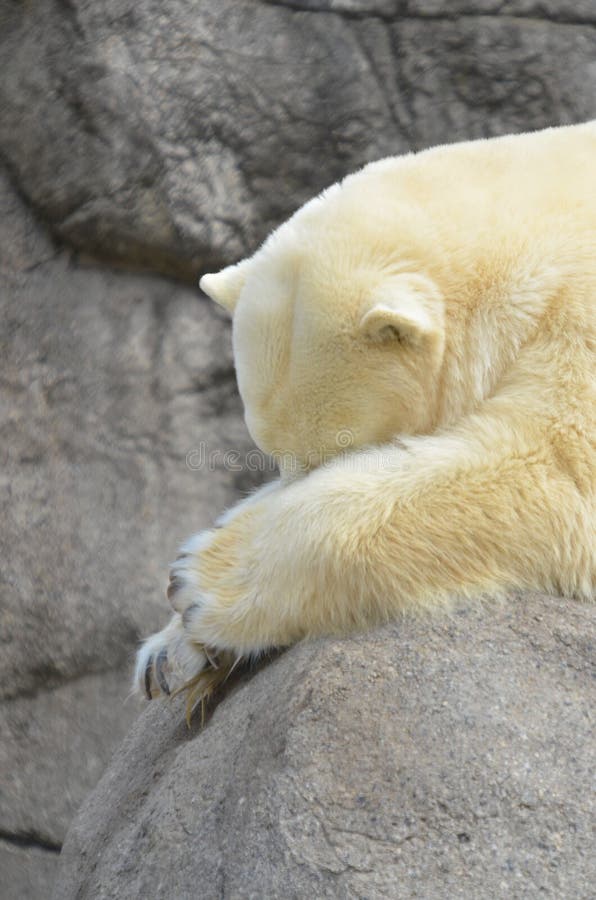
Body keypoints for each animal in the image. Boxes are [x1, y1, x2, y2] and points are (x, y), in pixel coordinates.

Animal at [135, 121, 595, 708]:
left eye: (339, 452)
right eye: (274, 455)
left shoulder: (580, 311)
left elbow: (557, 468)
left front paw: (198, 581)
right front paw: (167, 653)